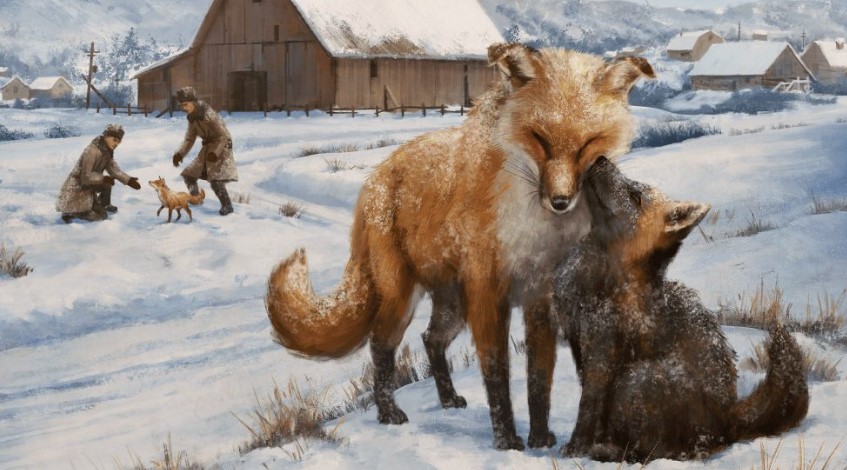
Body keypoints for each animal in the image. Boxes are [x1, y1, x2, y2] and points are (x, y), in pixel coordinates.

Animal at [266, 43, 655, 450]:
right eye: (540, 139)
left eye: (586, 145)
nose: (560, 201)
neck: (536, 235)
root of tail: (377, 177)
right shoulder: (488, 293)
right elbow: (497, 373)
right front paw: (507, 440)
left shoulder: (541, 297)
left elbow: (539, 376)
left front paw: (539, 437)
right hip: (403, 298)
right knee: (381, 345)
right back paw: (389, 413)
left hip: (452, 306)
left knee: (430, 339)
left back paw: (448, 398)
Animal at [553, 157, 809, 462]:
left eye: (635, 196)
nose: (601, 158)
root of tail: (728, 420)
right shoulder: (578, 341)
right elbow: (590, 408)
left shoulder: (602, 352)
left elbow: (587, 409)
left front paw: (574, 450)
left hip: (636, 379)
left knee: (659, 451)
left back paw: (613, 451)